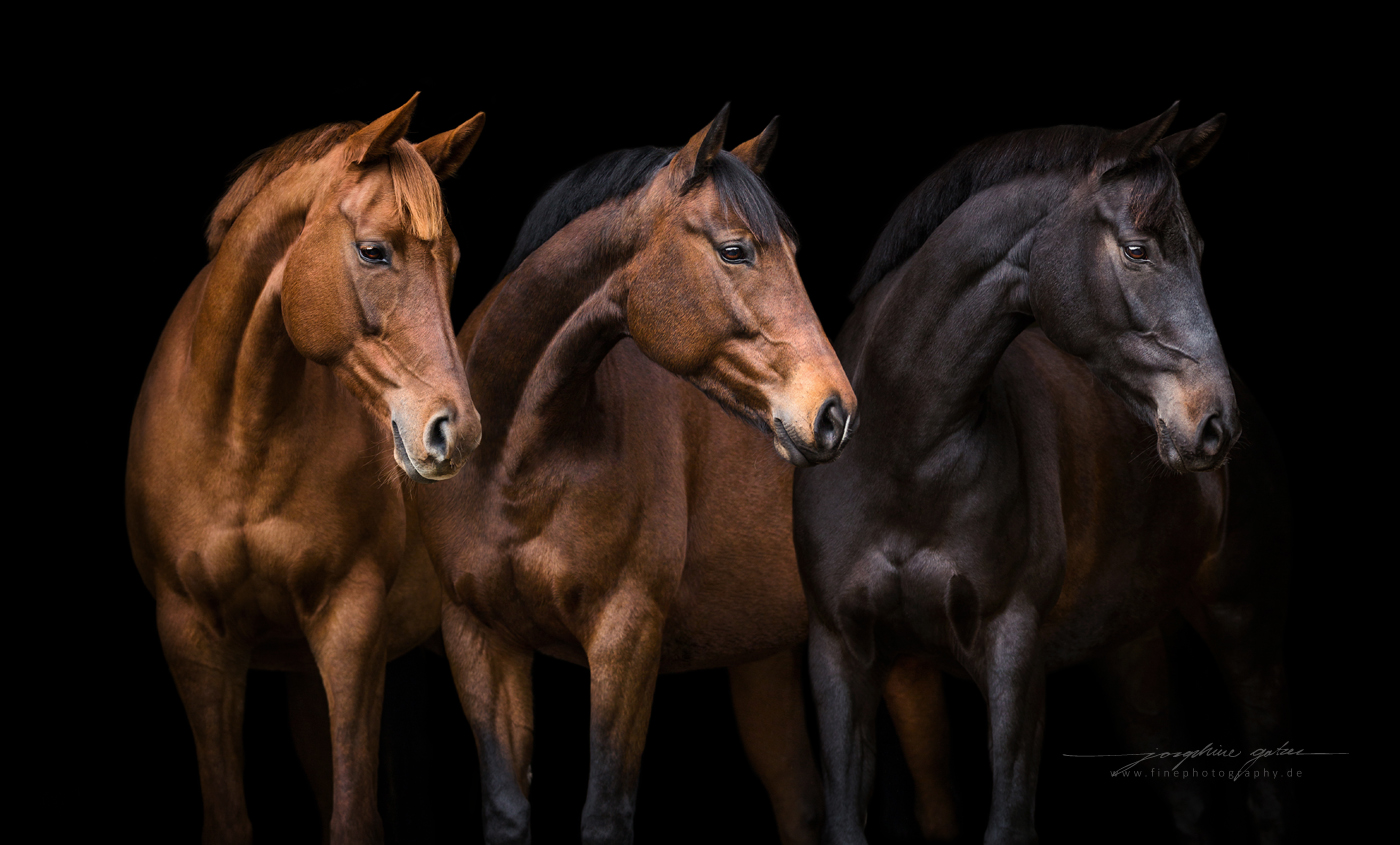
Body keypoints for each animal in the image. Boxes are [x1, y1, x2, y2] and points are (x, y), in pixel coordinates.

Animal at [126, 94, 485, 844]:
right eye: (373, 250)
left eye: (453, 260)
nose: (457, 431)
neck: (241, 440)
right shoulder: (192, 637)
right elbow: (228, 818)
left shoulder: (351, 624)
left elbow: (353, 818)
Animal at [415, 105, 858, 845]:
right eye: (735, 250)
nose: (834, 413)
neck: (515, 462)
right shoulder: (478, 637)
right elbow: (506, 807)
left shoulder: (625, 634)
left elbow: (605, 810)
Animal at [792, 105, 1291, 844]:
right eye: (1137, 250)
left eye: (1199, 250)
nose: (1212, 424)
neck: (905, 454)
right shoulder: (841, 656)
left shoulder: (1013, 654)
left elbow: (1008, 821)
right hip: (1131, 645)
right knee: (1187, 800)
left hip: (1244, 623)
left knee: (1264, 795)